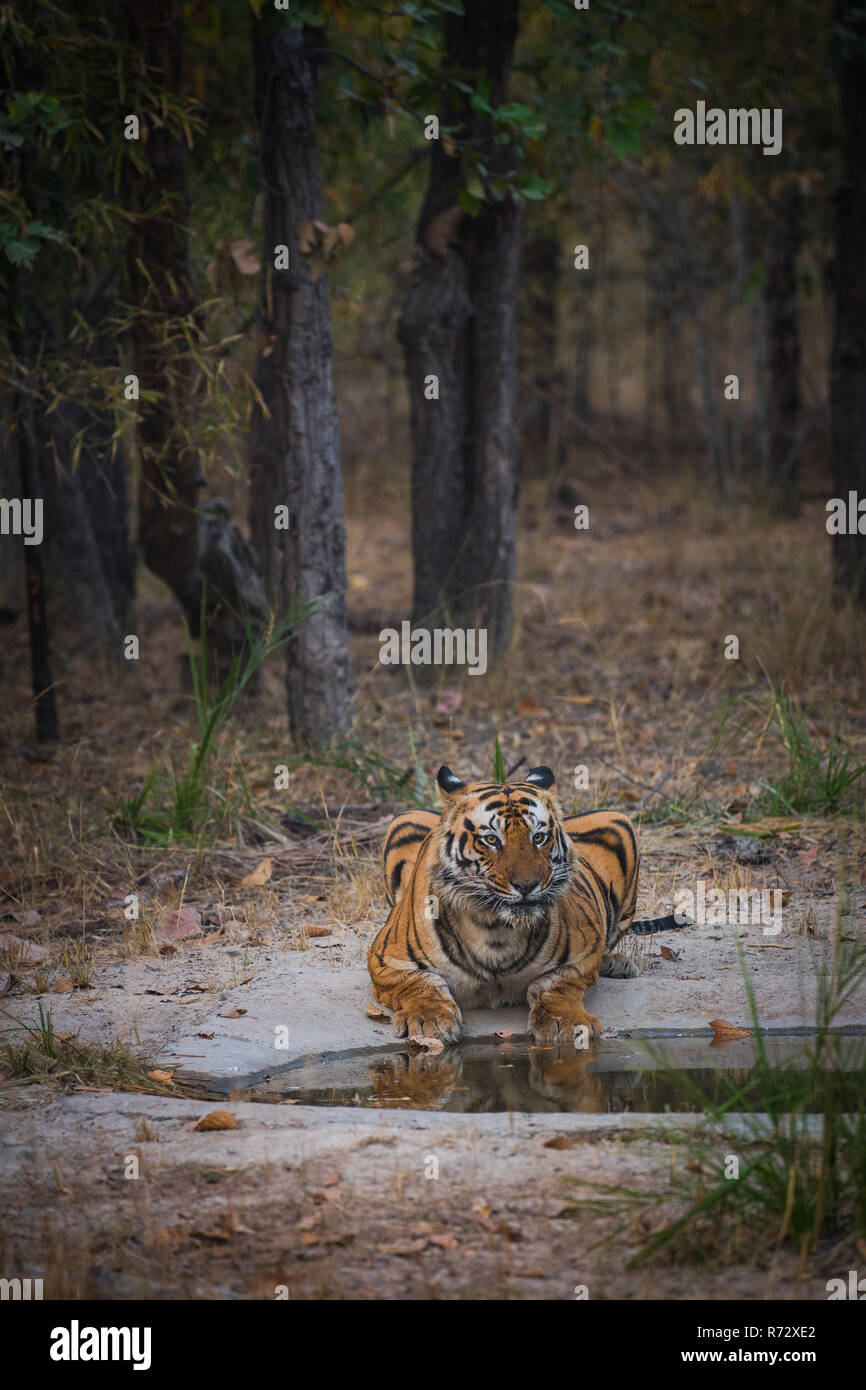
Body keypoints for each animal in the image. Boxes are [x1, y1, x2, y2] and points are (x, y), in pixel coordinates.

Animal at [367, 764, 686, 1047]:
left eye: (538, 837)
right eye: (491, 839)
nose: (526, 885)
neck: (493, 928)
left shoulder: (582, 953)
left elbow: (554, 984)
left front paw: (564, 1021)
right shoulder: (384, 959)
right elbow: (420, 983)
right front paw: (428, 1020)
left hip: (621, 822)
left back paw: (617, 964)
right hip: (402, 819)